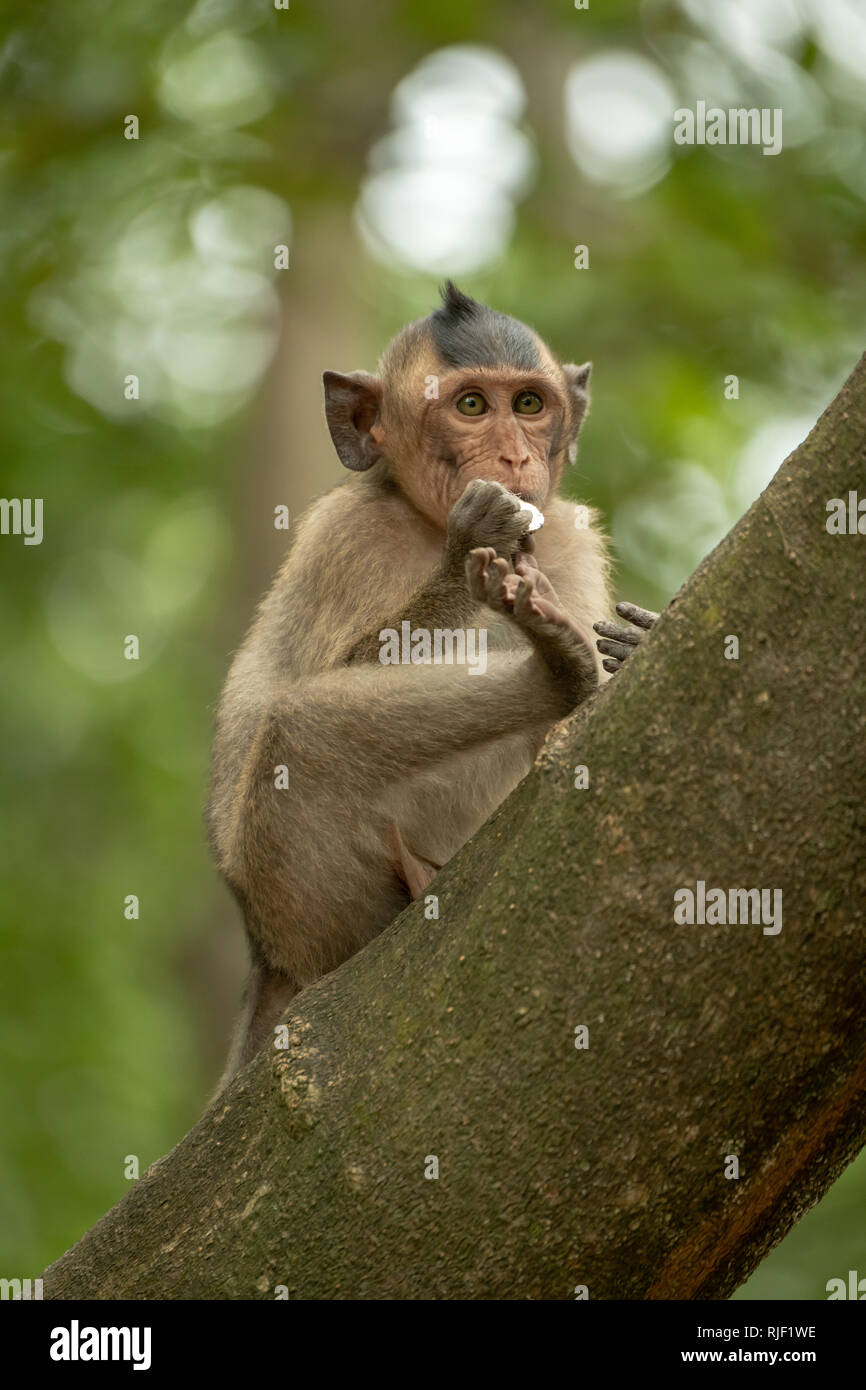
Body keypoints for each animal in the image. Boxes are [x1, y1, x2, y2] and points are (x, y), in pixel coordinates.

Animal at [206, 282, 646, 1092]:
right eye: (471, 406)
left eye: (529, 404)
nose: (514, 454)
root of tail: (265, 953)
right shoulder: (350, 537)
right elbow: (338, 674)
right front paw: (467, 548)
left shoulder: (569, 539)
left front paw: (631, 645)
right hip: (299, 900)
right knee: (300, 732)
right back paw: (555, 673)